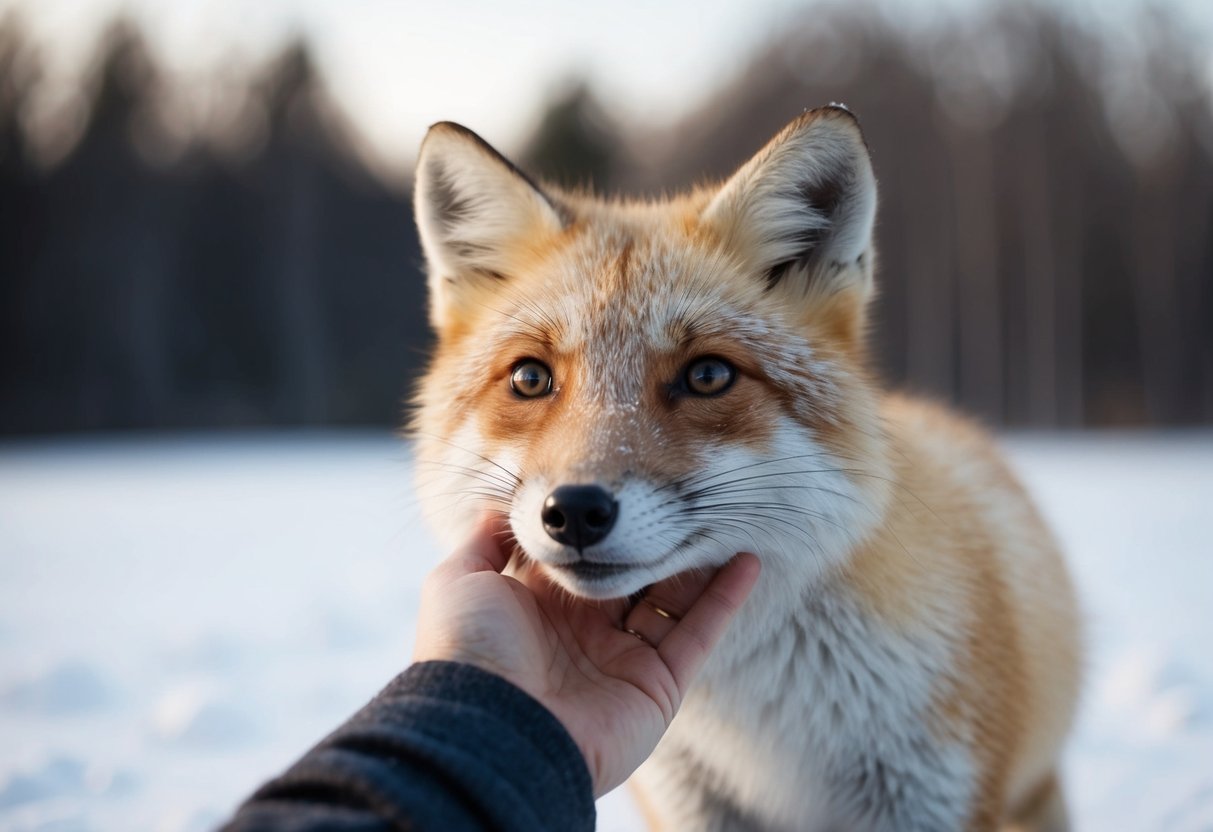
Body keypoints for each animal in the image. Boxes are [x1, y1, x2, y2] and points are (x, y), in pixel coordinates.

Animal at [409, 106, 1082, 832]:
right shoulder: (695, 806)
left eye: (707, 376)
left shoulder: (930, 794)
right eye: (530, 379)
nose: (575, 512)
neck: (758, 721)